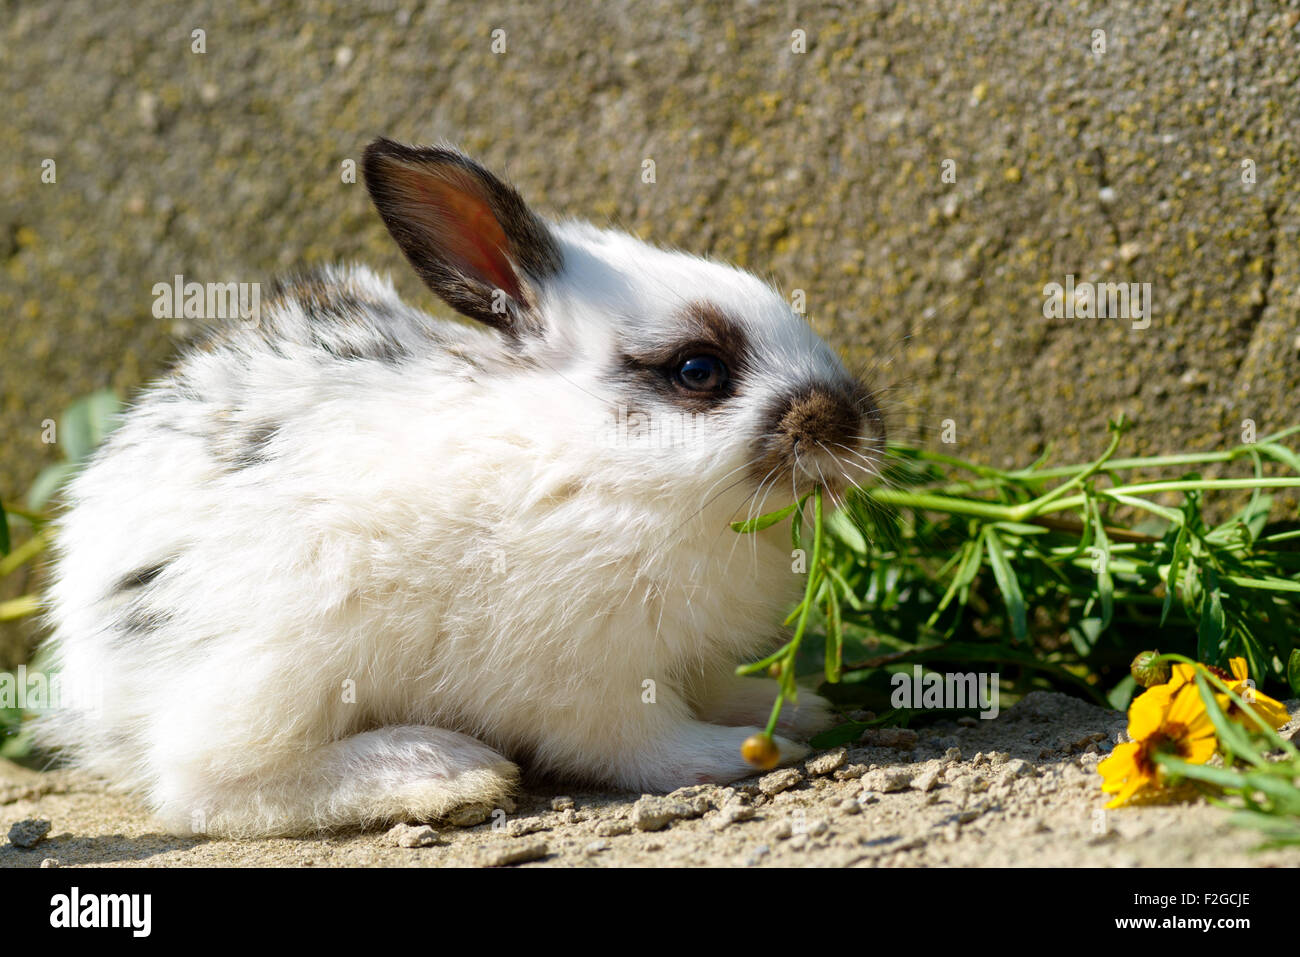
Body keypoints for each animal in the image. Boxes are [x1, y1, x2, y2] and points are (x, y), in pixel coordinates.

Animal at [33, 138, 887, 838]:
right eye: (698, 369)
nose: (856, 428)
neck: (583, 458)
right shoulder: (588, 677)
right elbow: (639, 744)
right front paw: (740, 750)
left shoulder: (689, 657)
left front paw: (793, 705)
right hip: (281, 653)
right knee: (205, 780)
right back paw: (442, 769)